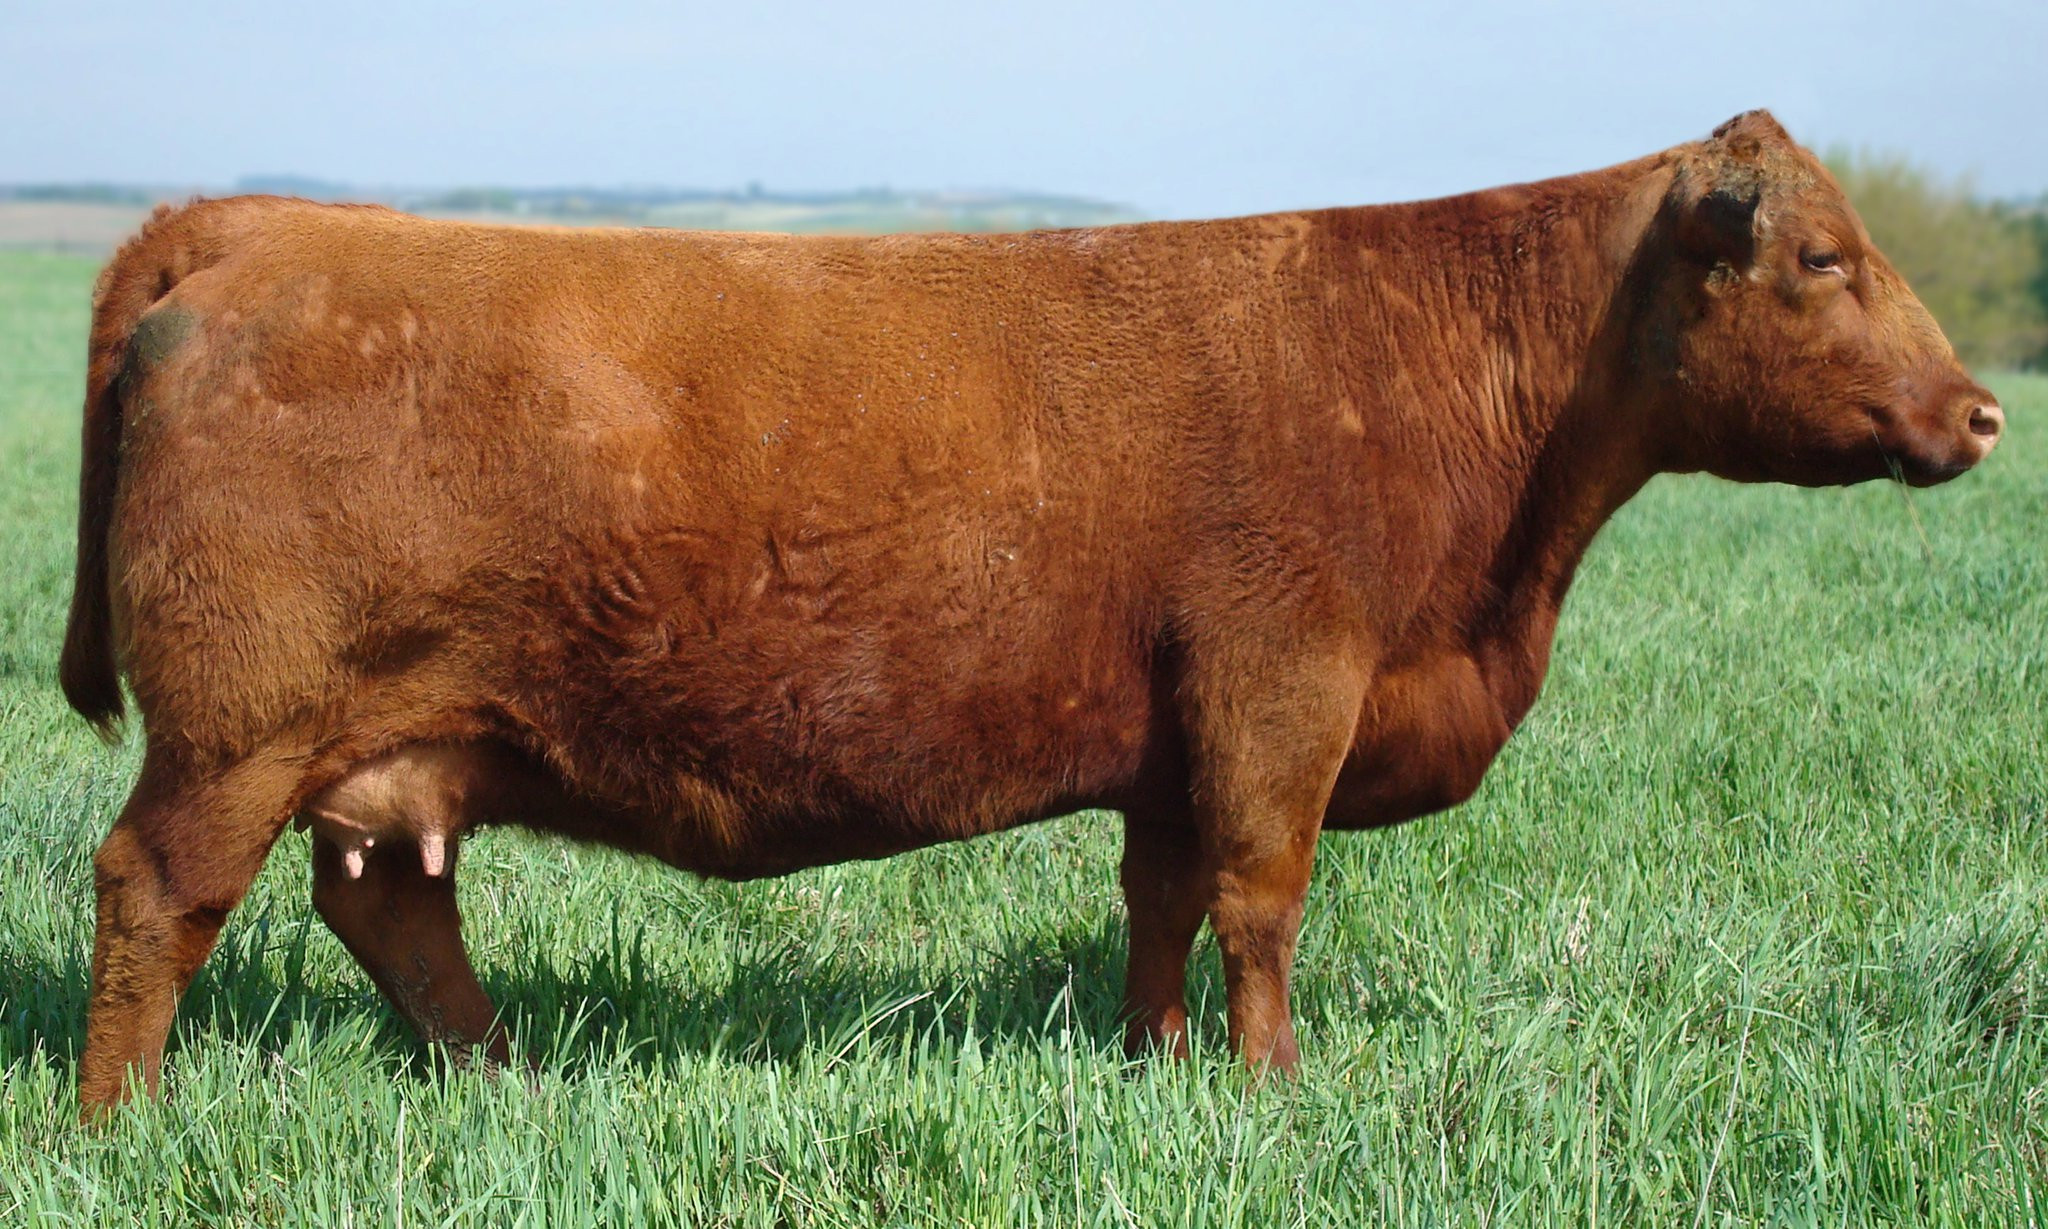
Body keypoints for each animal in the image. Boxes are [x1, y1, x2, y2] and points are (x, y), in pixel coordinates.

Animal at [61, 111, 2002, 1114]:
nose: (1983, 412)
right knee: (158, 891)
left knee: (388, 906)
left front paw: (1156, 1063)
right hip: (236, 729)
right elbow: (1261, 898)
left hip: (386, 747)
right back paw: (121, 1122)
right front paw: (1271, 1088)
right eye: (1822, 258)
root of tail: (249, 222)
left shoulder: (1177, 726)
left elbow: (1162, 899)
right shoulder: (1281, 684)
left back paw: (506, 1073)